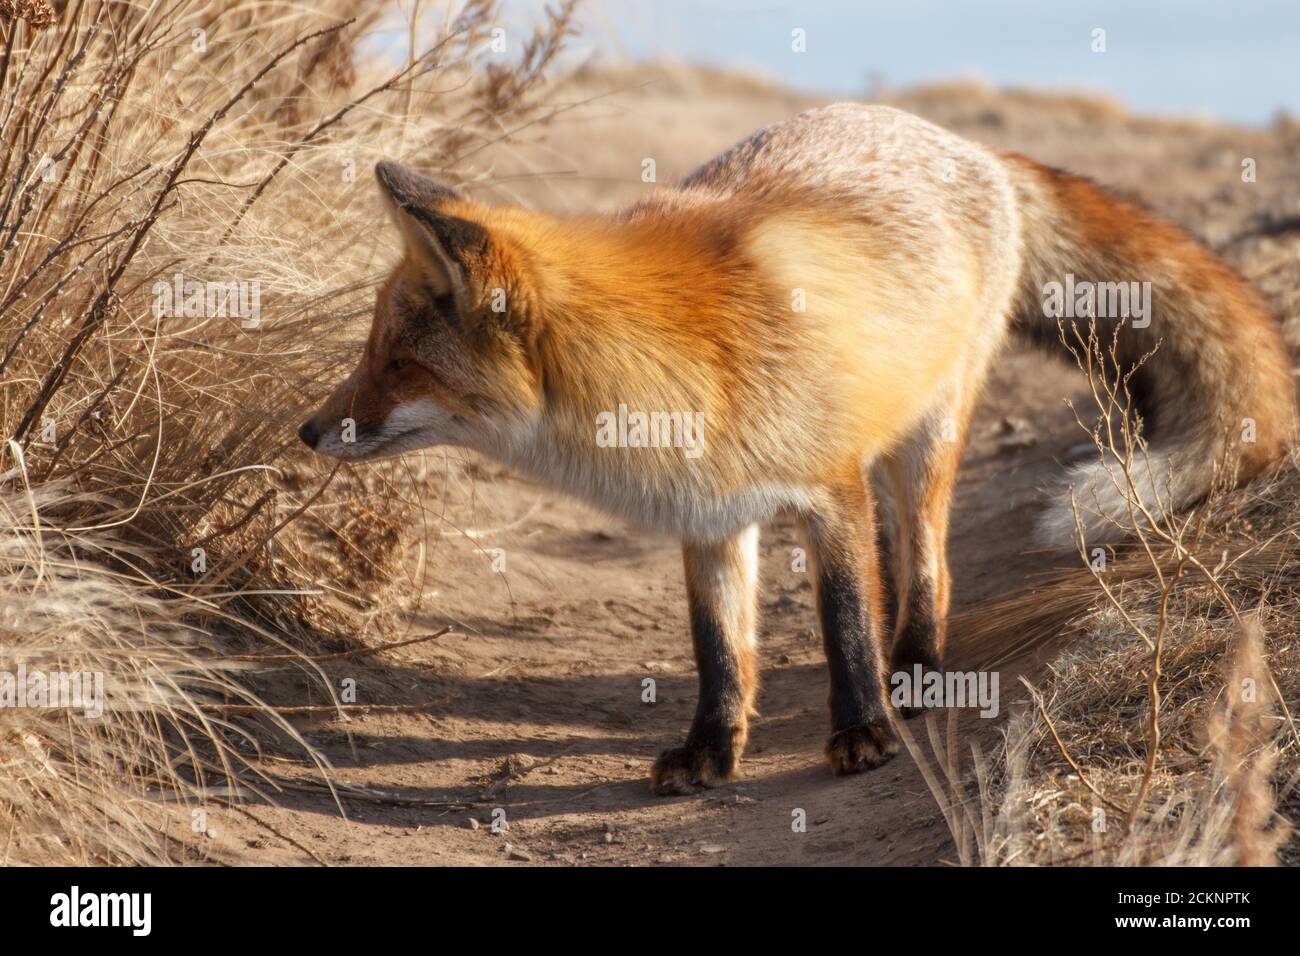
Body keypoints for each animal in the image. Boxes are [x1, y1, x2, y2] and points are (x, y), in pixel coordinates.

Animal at [298, 104, 1295, 795]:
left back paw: (915, 666)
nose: (307, 431)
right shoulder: (707, 517)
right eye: (370, 354)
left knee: (927, 558)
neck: (661, 373)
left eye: (398, 364)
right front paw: (710, 749)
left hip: (926, 435)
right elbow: (719, 651)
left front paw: (861, 731)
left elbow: (845, 617)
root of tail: (968, 147)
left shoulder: (828, 485)